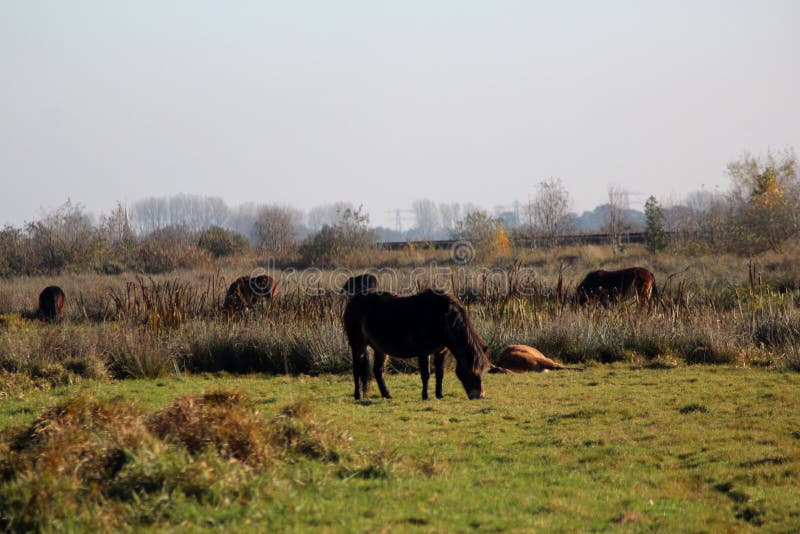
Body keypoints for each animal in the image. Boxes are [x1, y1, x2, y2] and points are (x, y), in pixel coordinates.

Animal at [343, 289, 490, 400]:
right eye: (470, 370)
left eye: (483, 370)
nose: (480, 395)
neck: (443, 317)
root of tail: (352, 301)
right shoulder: (424, 352)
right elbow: (426, 374)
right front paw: (425, 396)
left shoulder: (441, 351)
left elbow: (440, 373)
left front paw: (439, 395)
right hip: (358, 345)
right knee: (357, 369)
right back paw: (357, 396)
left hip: (379, 349)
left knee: (378, 371)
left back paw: (387, 395)